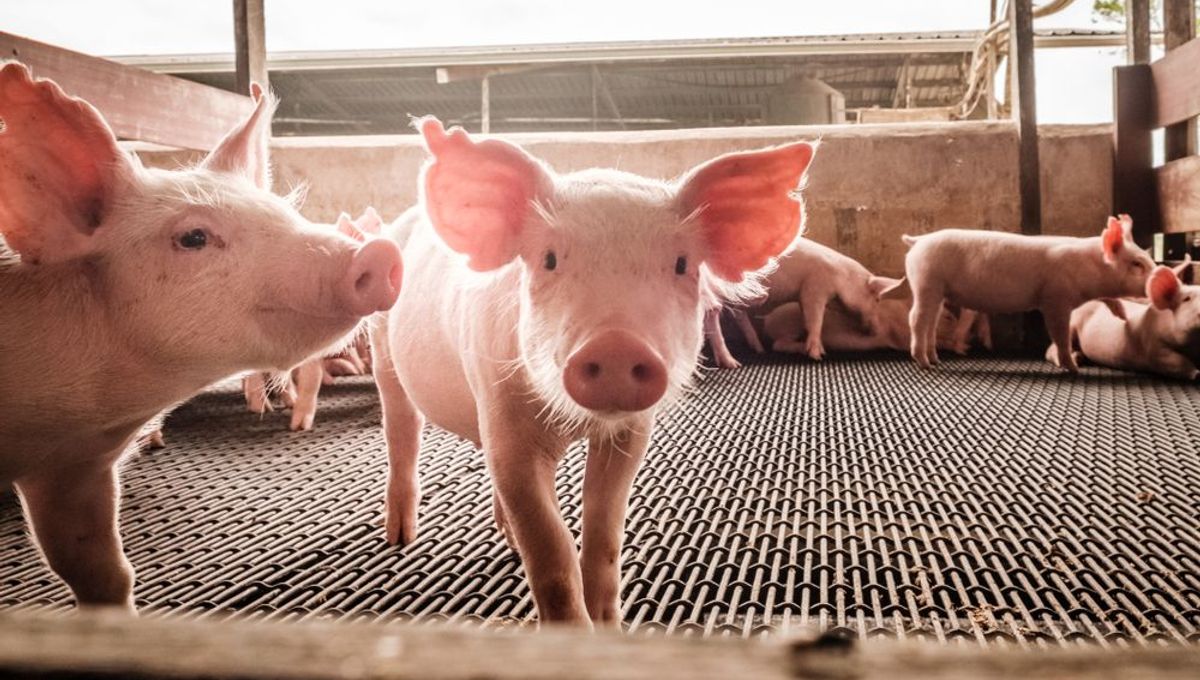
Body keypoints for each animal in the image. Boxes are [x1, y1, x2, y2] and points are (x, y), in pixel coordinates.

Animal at [372, 118, 816, 626]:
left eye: (682, 264)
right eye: (548, 258)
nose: (616, 345)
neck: (576, 424)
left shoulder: (630, 432)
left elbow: (604, 529)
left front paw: (609, 624)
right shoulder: (503, 414)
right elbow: (550, 548)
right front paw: (574, 631)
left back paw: (505, 541)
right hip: (382, 348)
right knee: (401, 430)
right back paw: (400, 537)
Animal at [904, 216, 1155, 371]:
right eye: (1137, 264)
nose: (1160, 277)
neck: (1090, 267)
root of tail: (919, 240)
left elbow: (1109, 298)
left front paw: (1122, 315)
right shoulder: (1055, 298)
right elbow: (1060, 334)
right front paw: (1073, 369)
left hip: (938, 290)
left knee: (931, 322)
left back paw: (935, 360)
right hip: (926, 282)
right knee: (916, 318)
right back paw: (924, 364)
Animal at [1048, 260, 1200, 380]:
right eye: (1186, 299)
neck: (1192, 345)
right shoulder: (1154, 348)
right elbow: (1176, 361)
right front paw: (1197, 374)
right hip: (1071, 326)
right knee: (1051, 350)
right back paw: (1076, 360)